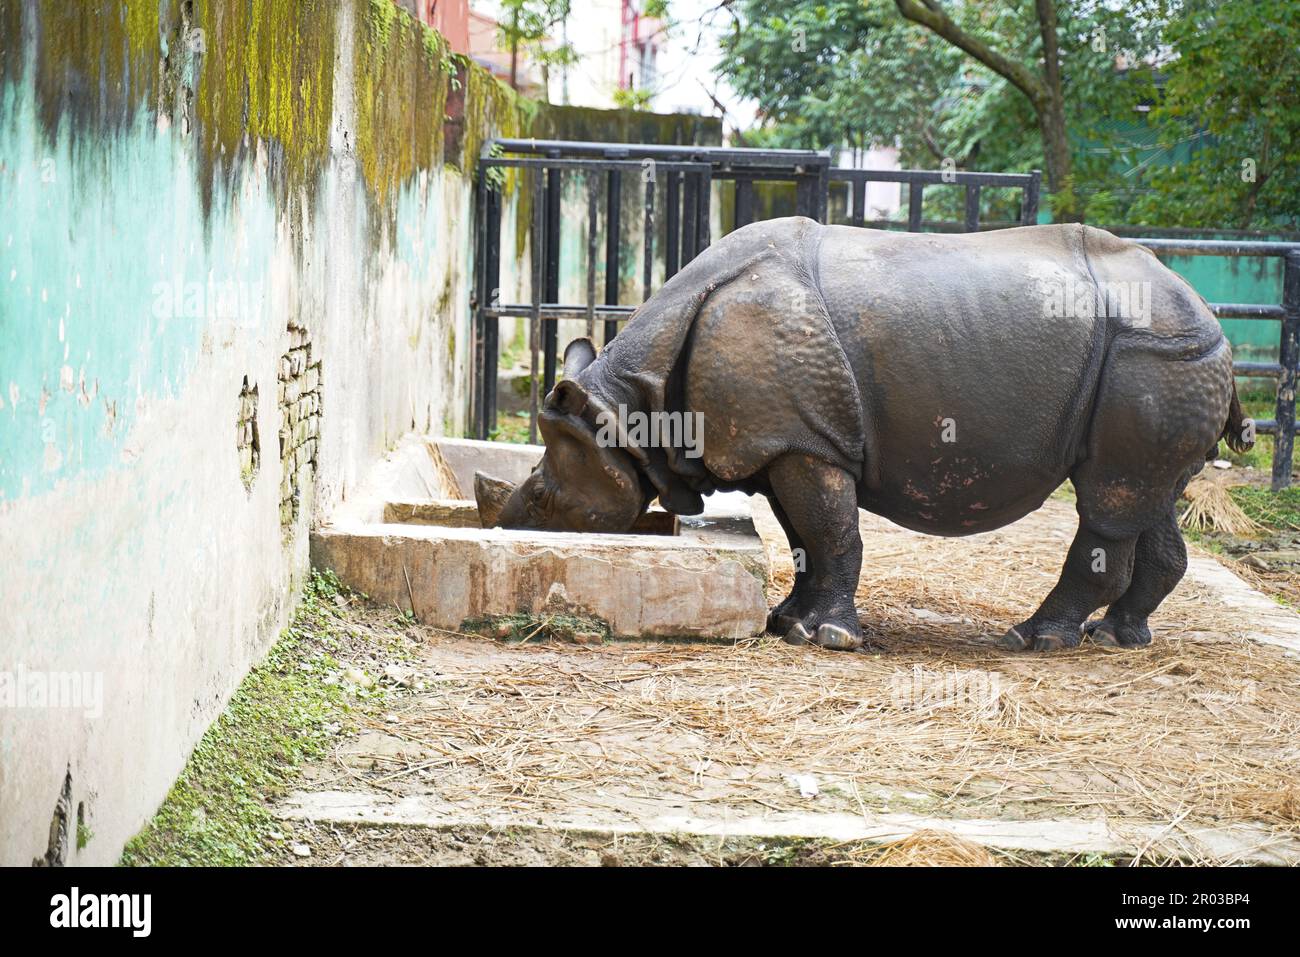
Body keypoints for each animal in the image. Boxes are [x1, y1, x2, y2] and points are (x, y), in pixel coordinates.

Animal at [485, 218, 1252, 652]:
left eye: (544, 495)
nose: (512, 526)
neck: (625, 406)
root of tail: (1210, 312)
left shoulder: (804, 442)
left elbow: (832, 531)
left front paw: (827, 638)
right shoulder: (793, 439)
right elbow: (805, 535)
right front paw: (788, 623)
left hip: (1151, 356)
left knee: (1108, 500)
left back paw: (1036, 641)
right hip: (1167, 360)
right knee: (1148, 496)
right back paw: (1118, 638)